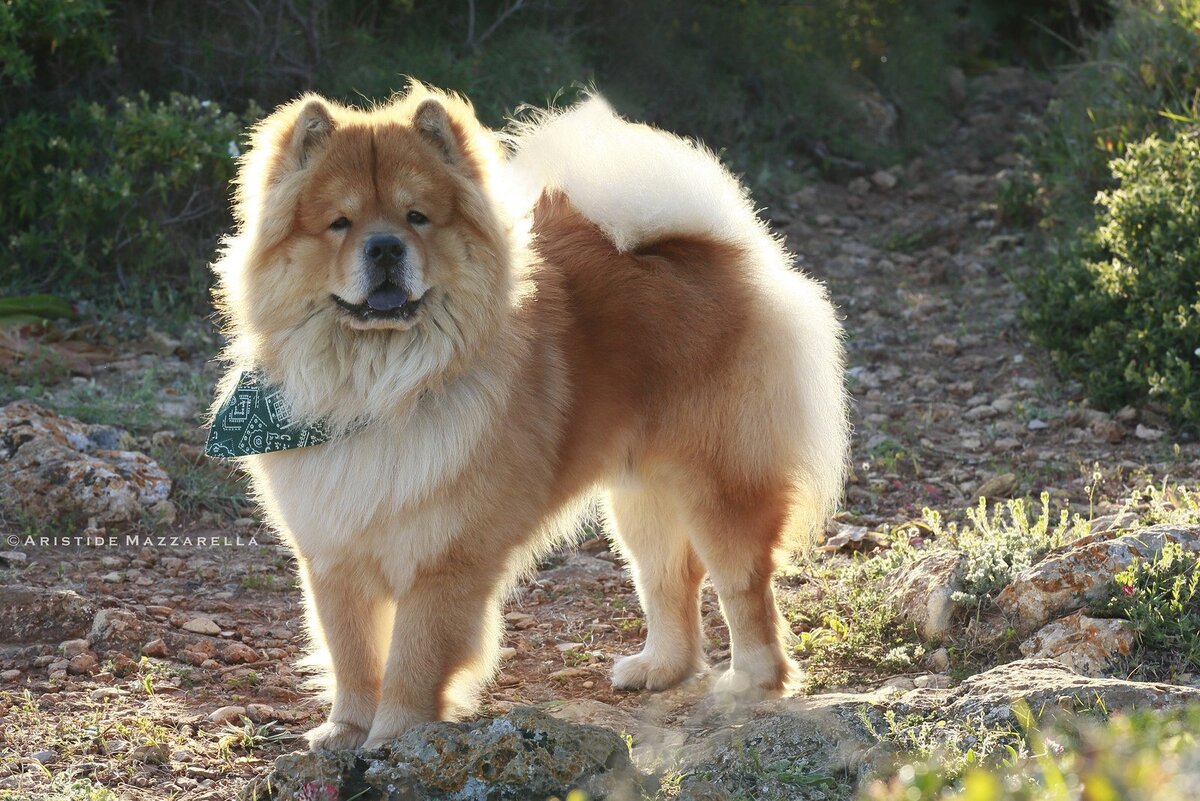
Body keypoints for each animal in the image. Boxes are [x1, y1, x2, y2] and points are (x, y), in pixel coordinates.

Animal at [213, 82, 854, 753]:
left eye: (417, 217)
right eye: (339, 223)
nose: (384, 247)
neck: (378, 388)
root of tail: (717, 249)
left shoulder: (442, 559)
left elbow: (412, 659)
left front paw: (393, 739)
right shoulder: (334, 551)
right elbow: (352, 654)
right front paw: (344, 730)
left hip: (718, 484)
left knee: (741, 585)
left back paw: (751, 682)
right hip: (643, 498)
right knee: (667, 581)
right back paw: (658, 668)